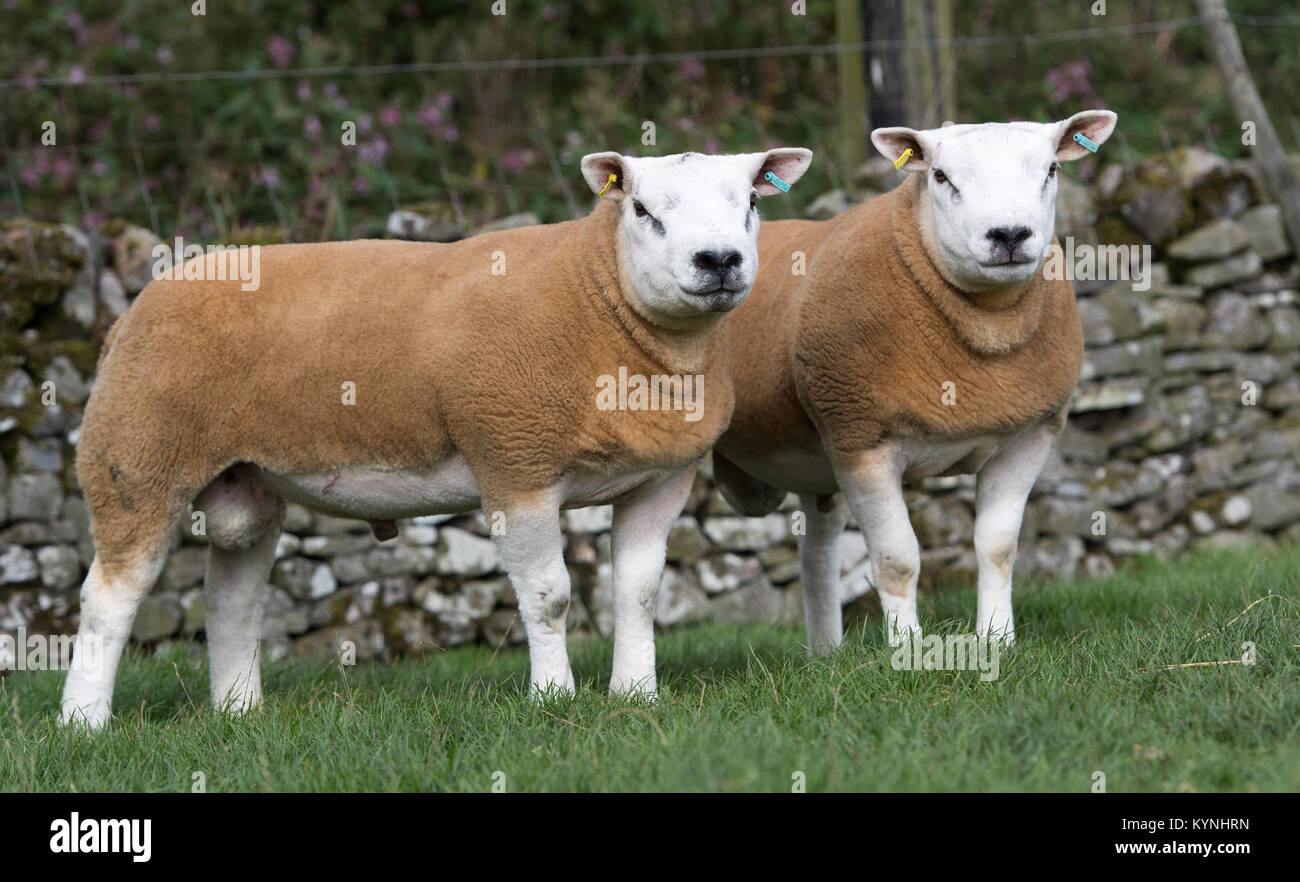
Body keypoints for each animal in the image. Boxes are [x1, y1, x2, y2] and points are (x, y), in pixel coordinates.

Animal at [60, 147, 813, 729]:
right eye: (643, 211)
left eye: (751, 202)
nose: (718, 260)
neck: (599, 298)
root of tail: (133, 310)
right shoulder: (515, 463)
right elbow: (550, 595)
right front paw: (554, 699)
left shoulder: (662, 480)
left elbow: (641, 594)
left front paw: (635, 696)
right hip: (137, 458)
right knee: (107, 601)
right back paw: (83, 723)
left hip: (242, 480)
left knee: (231, 598)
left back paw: (240, 713)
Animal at [713, 111, 1116, 652]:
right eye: (941, 177)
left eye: (1052, 169)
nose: (1009, 234)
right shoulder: (863, 442)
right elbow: (898, 560)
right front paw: (906, 649)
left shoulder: (1030, 435)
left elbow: (997, 547)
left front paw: (998, 641)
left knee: (818, 549)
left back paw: (826, 654)